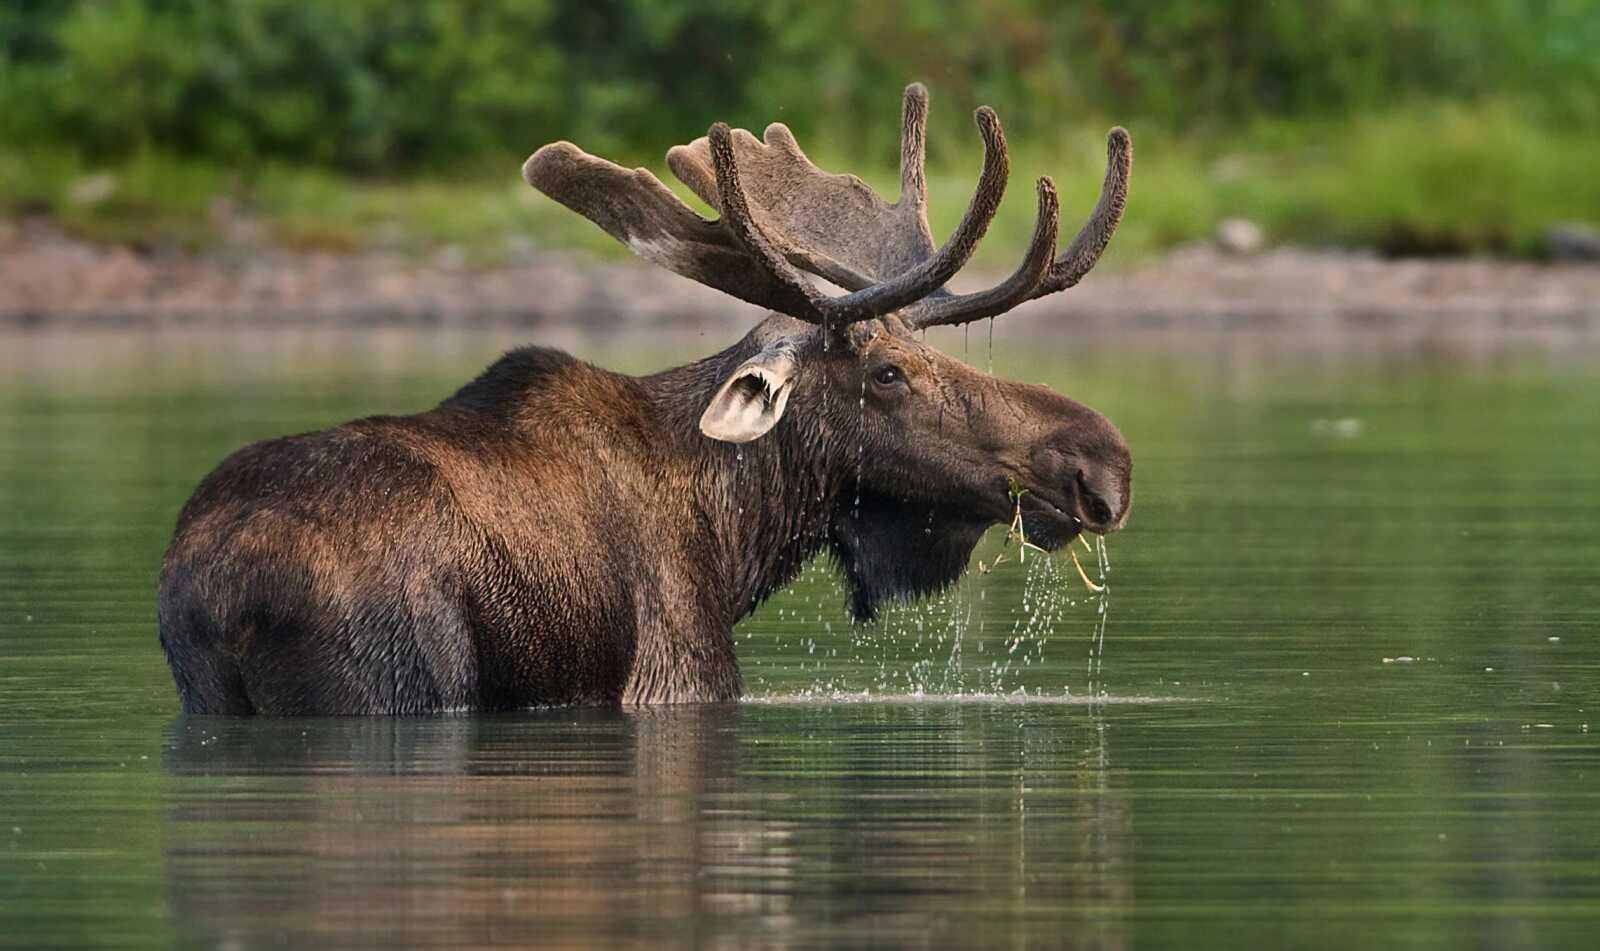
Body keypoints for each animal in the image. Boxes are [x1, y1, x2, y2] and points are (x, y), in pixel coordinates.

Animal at [157, 83, 1133, 715]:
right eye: (888, 373)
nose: (1103, 463)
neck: (738, 536)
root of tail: (225, 587)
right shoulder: (678, 675)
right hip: (394, 680)